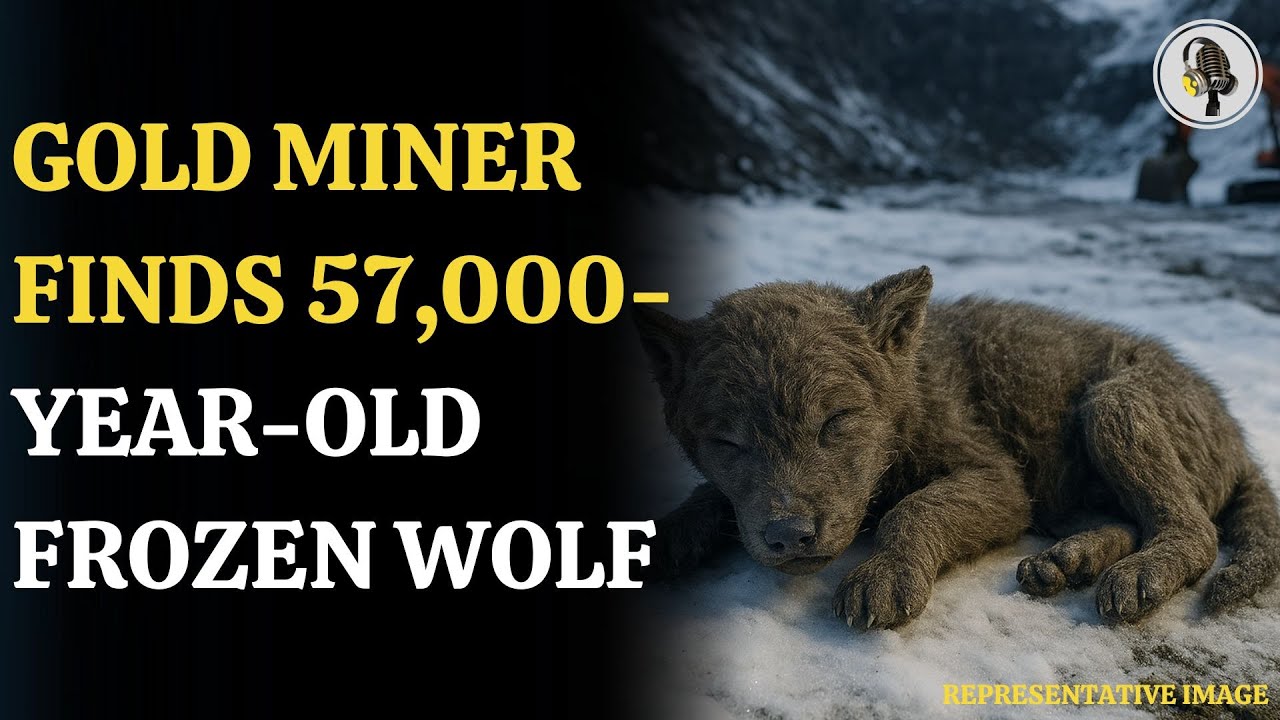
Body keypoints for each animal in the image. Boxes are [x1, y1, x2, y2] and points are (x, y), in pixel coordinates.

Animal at [636, 267, 1280, 628]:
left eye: (837, 421)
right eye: (728, 441)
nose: (789, 535)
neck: (913, 392)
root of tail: (1239, 438)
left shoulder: (999, 478)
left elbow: (913, 508)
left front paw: (887, 572)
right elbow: (709, 499)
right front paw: (659, 539)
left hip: (1113, 406)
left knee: (1195, 530)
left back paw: (1138, 574)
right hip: (1065, 487)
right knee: (1129, 520)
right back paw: (1069, 560)